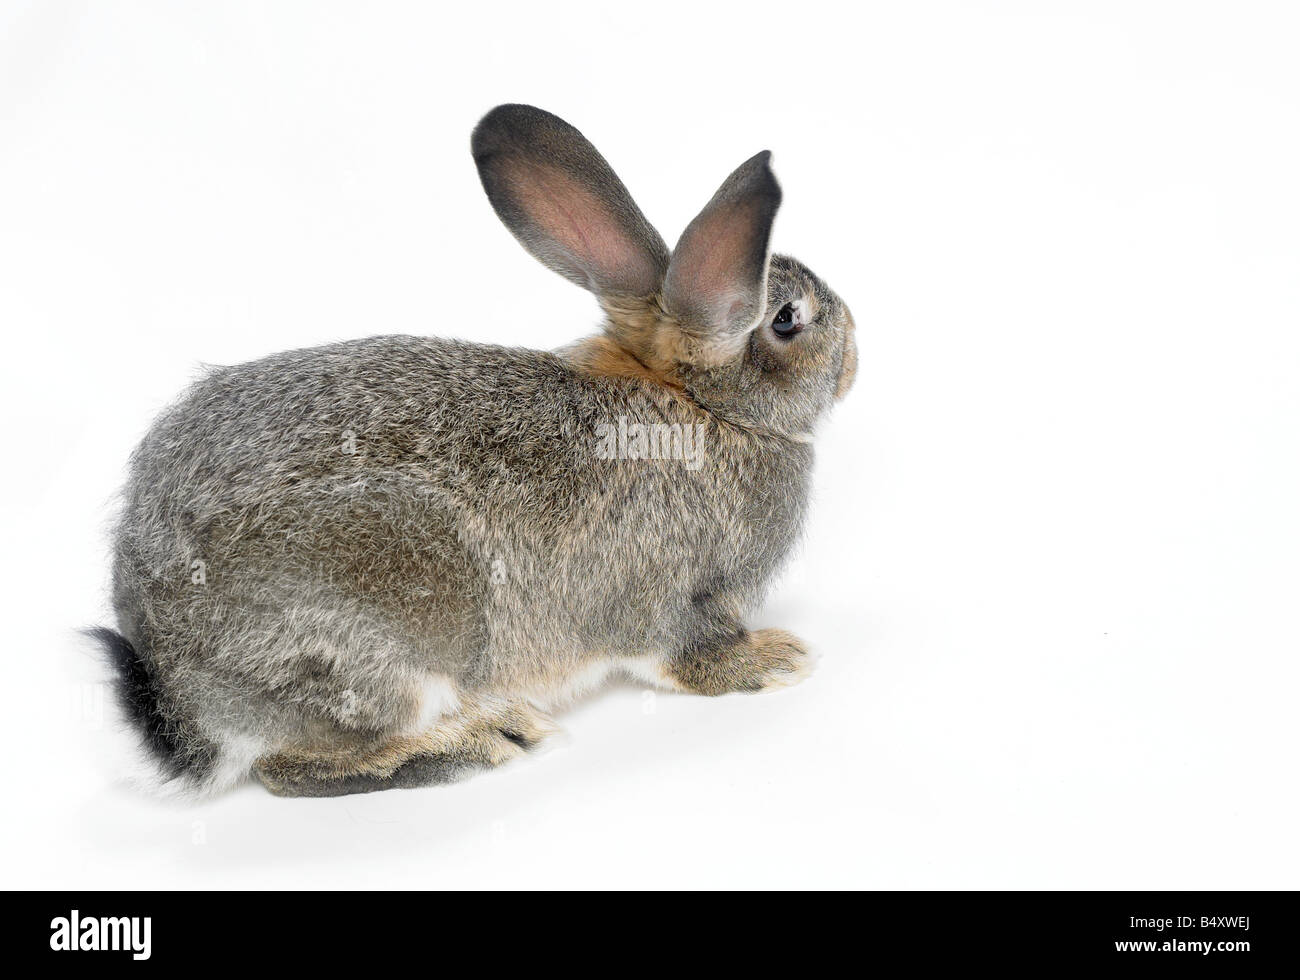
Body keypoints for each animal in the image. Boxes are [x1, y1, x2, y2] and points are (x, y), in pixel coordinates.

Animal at [92, 104, 858, 797]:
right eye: (788, 319)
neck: (702, 405)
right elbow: (687, 650)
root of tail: (185, 695)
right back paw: (479, 740)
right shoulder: (681, 597)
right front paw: (774, 660)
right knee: (292, 766)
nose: (854, 359)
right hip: (393, 628)